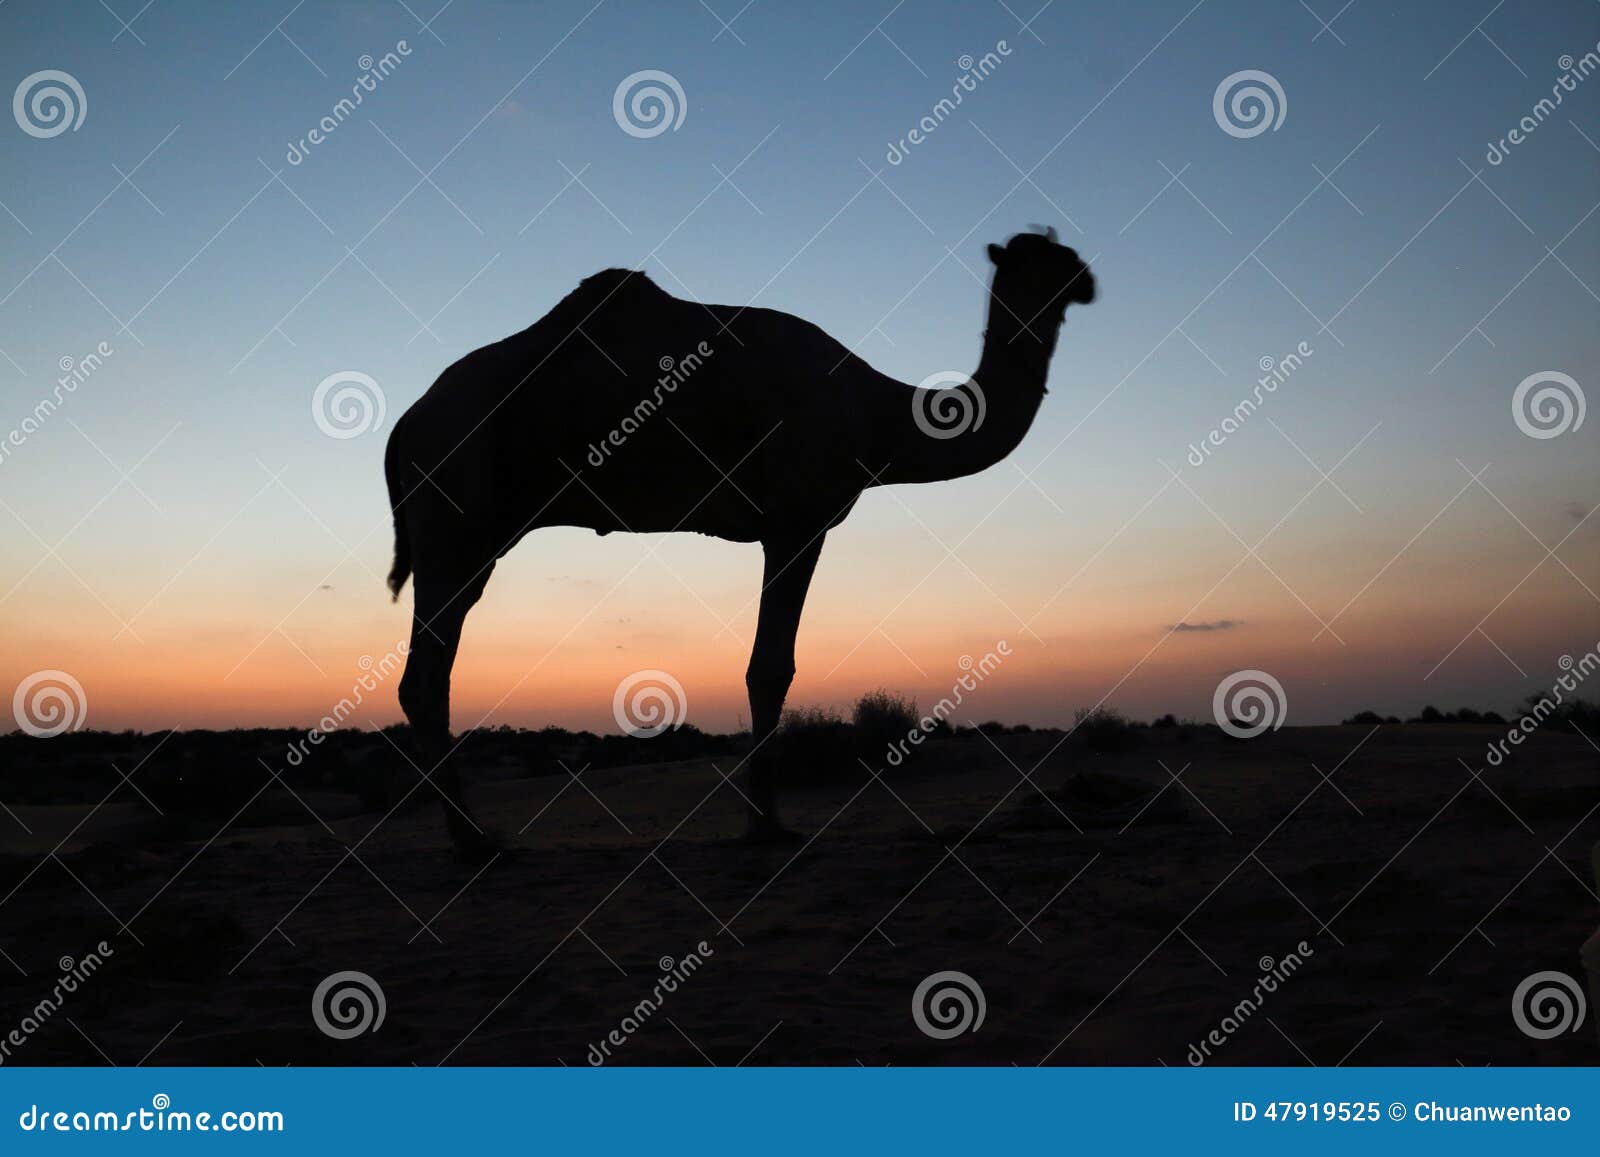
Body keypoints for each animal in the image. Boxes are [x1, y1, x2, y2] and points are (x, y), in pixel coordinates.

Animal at [384, 228, 1095, 858]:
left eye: (1063, 258)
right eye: (1039, 264)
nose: (1086, 281)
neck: (880, 416)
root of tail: (404, 428)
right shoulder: (797, 520)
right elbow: (771, 667)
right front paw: (768, 826)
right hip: (456, 520)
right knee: (426, 676)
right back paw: (473, 841)